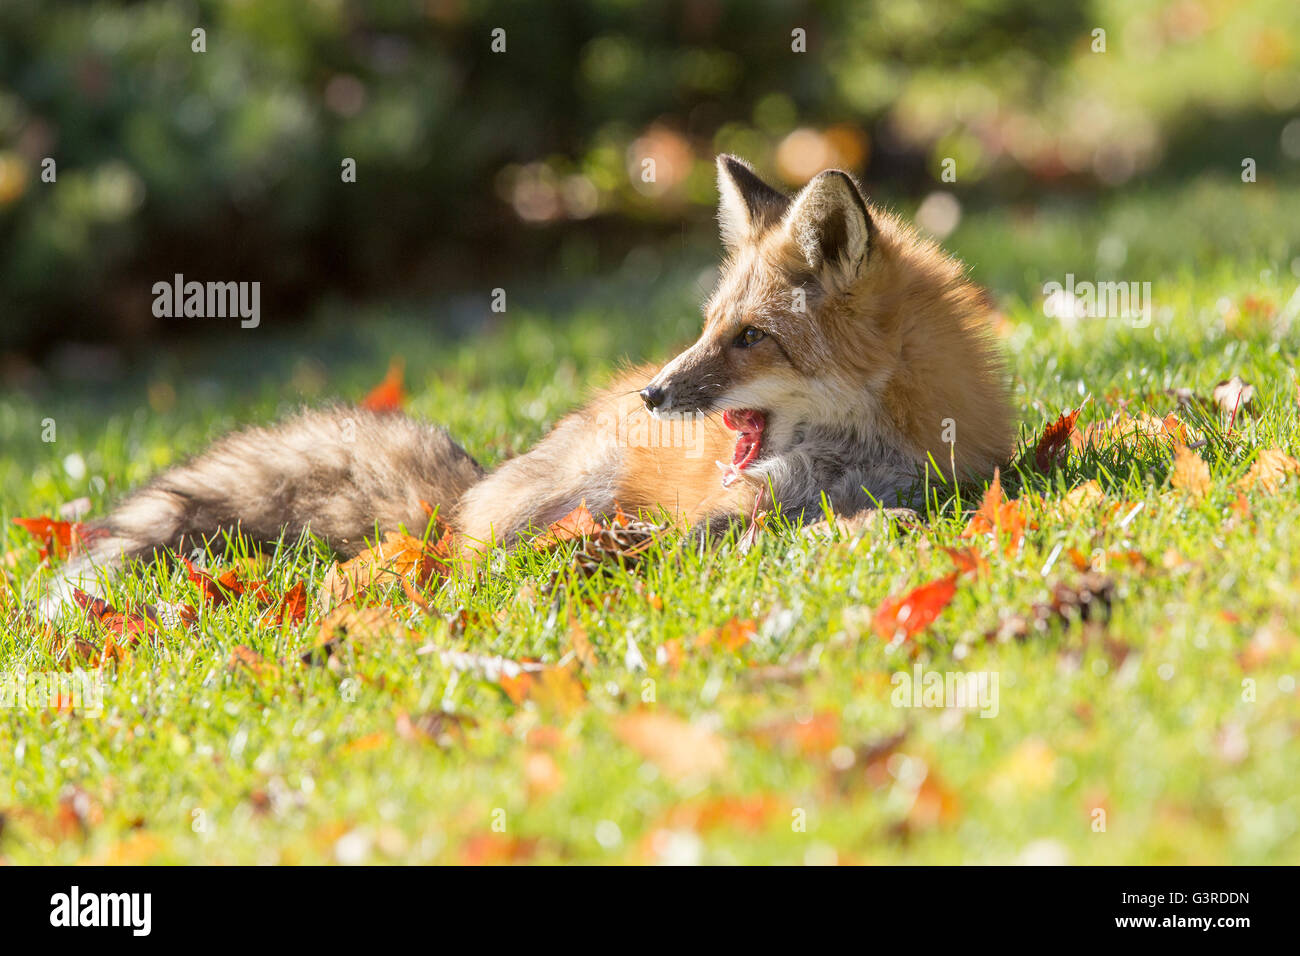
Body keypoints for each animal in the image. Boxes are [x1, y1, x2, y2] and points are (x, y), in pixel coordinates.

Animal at [39, 155, 1012, 613]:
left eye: (751, 338)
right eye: (707, 327)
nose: (654, 396)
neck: (853, 461)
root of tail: (470, 491)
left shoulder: (954, 482)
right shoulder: (722, 515)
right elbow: (737, 534)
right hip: (568, 495)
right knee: (485, 561)